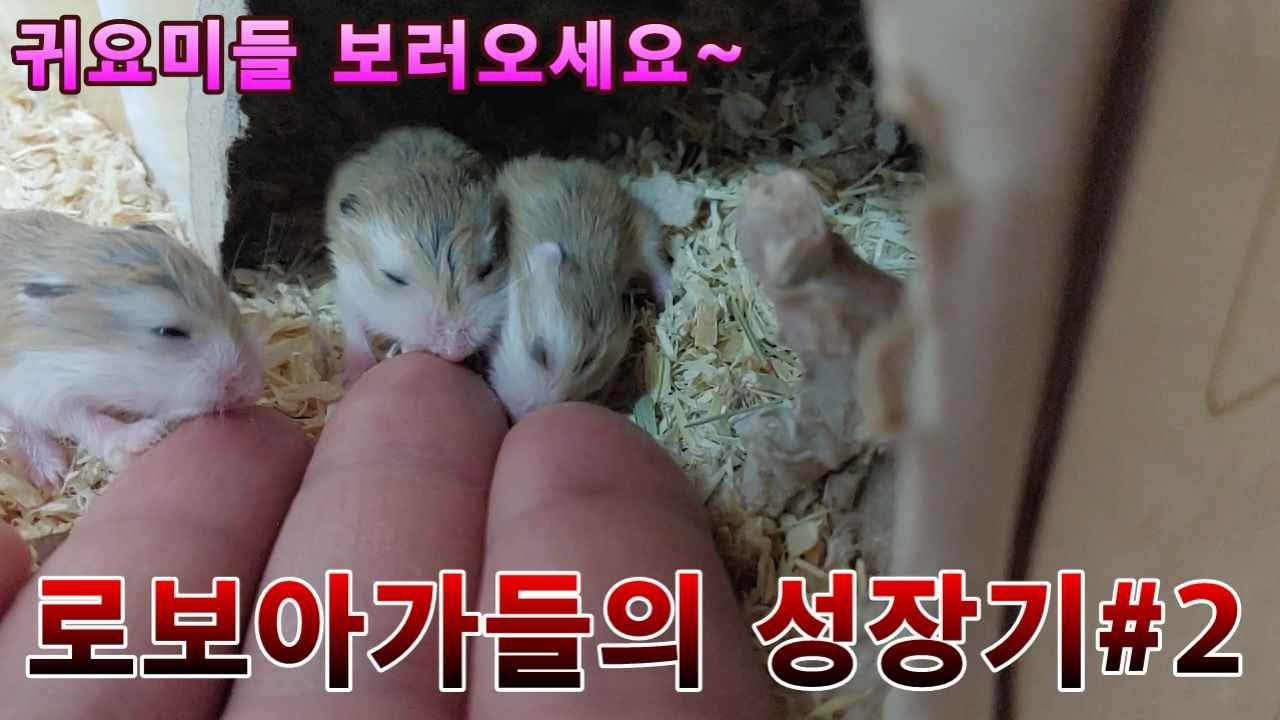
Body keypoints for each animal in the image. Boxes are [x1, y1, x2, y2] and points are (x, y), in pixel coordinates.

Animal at [0, 210, 265, 488]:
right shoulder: (41, 390)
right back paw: (51, 473)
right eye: (169, 332)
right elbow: (85, 420)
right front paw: (148, 436)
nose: (255, 390)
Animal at [325, 126, 506, 384]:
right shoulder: (347, 284)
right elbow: (354, 328)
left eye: (487, 269)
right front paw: (357, 376)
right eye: (393, 277)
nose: (454, 352)